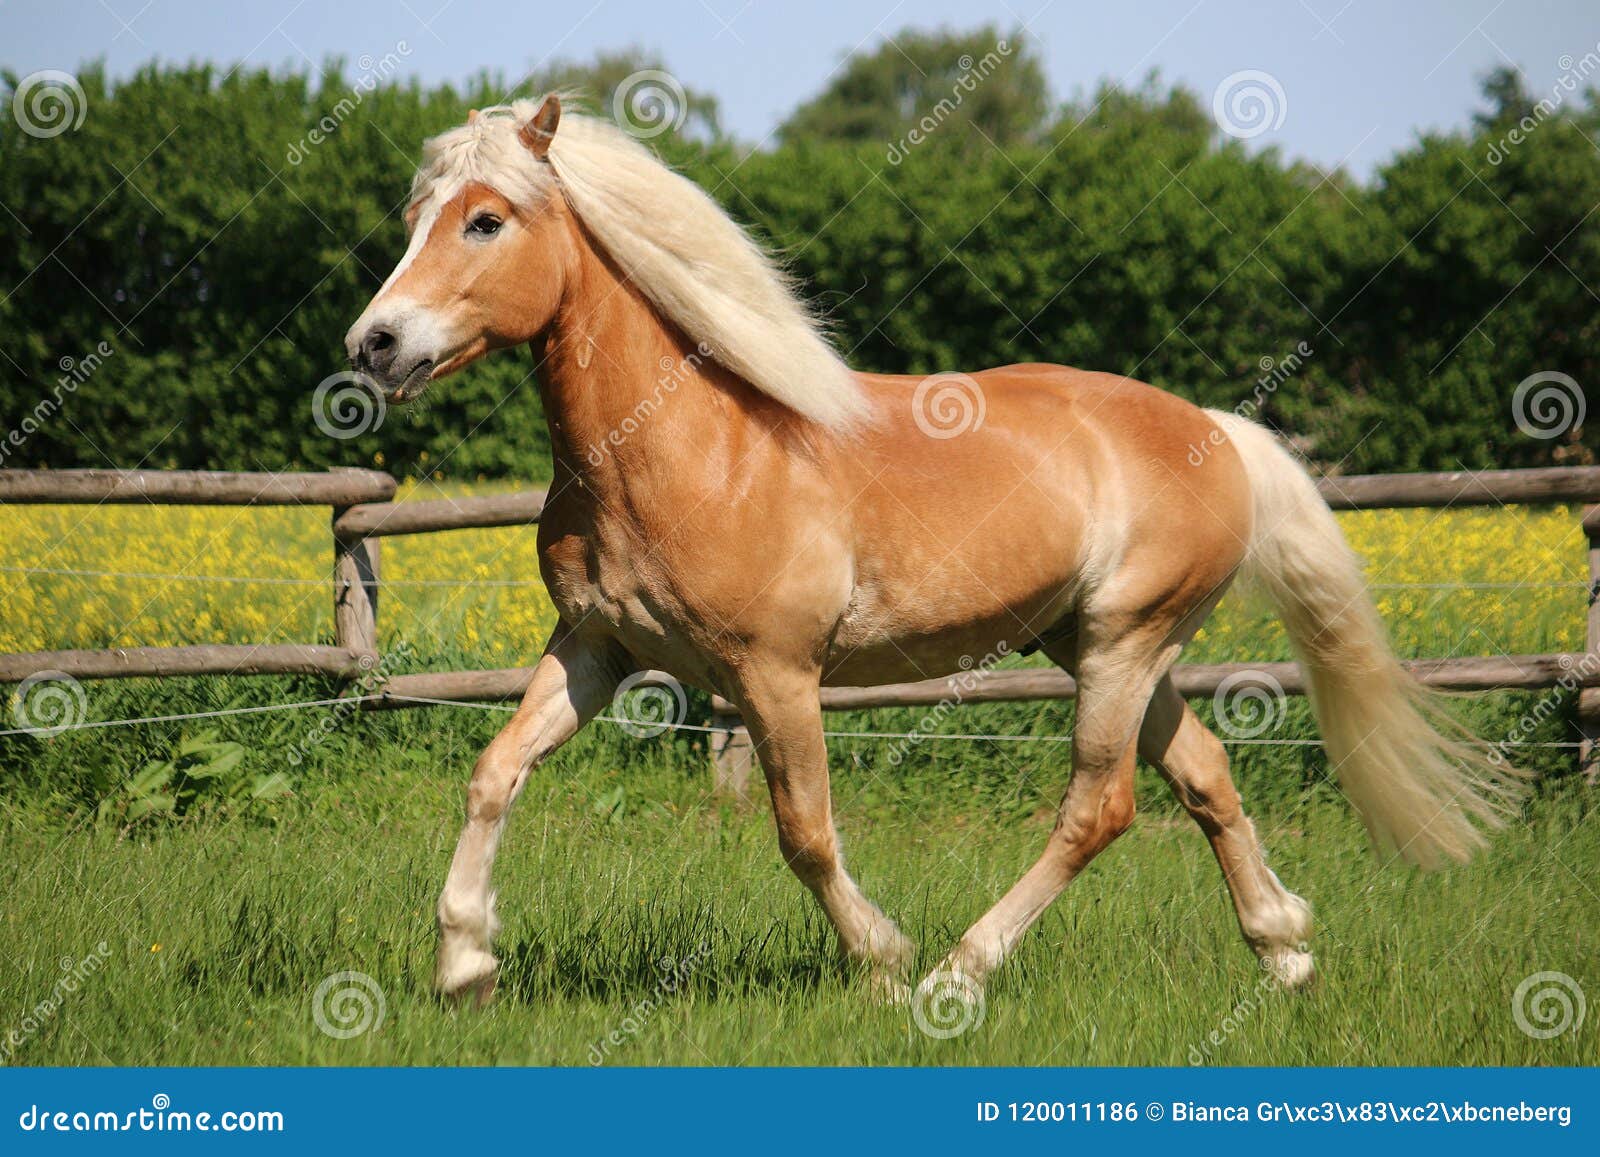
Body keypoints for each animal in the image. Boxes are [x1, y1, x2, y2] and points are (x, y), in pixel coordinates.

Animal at [344, 95, 1520, 1006]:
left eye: (486, 219)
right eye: (413, 217)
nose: (375, 345)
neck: (683, 450)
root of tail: (1215, 431)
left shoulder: (776, 676)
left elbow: (805, 833)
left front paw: (879, 961)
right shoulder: (596, 648)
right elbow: (493, 772)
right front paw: (464, 963)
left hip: (1123, 643)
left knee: (1098, 809)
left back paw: (959, 971)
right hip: (1096, 645)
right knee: (1204, 776)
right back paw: (1283, 952)